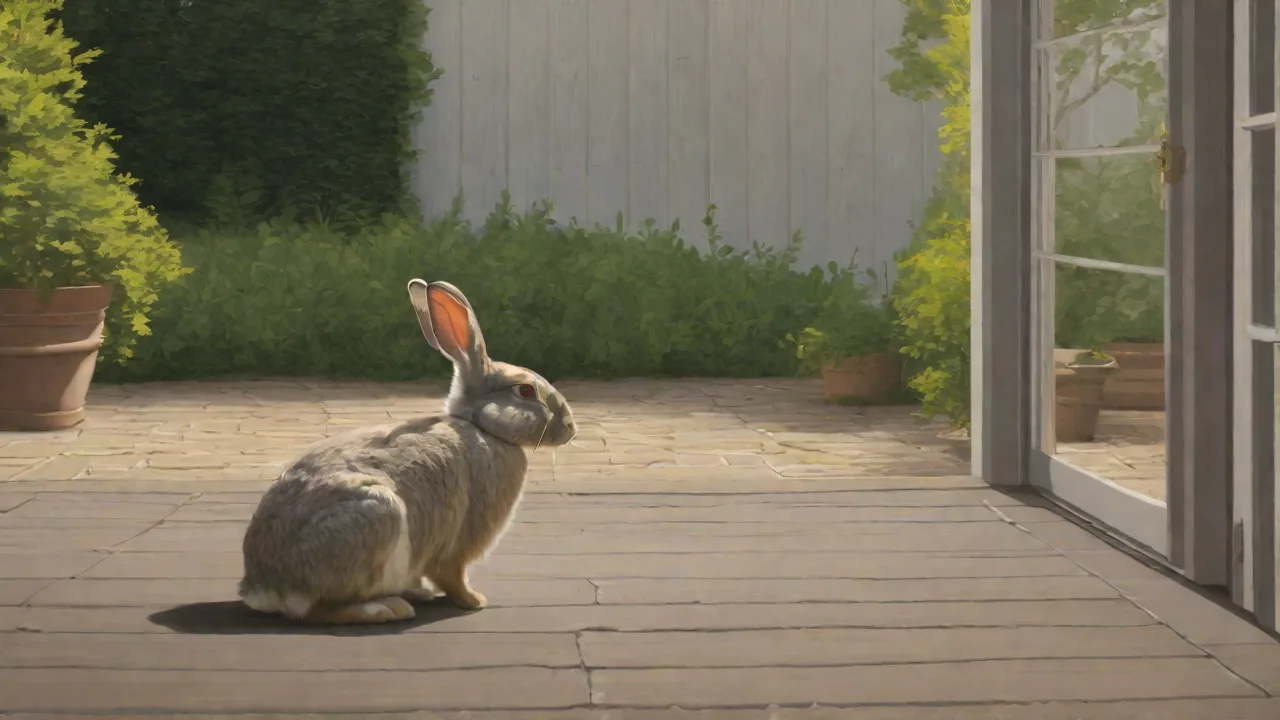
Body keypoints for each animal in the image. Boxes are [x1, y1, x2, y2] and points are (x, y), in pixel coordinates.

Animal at [238, 279, 577, 624]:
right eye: (526, 391)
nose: (570, 428)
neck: (482, 428)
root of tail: (265, 588)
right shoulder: (458, 541)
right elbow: (452, 575)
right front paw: (475, 600)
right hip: (376, 517)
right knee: (319, 609)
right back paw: (386, 608)